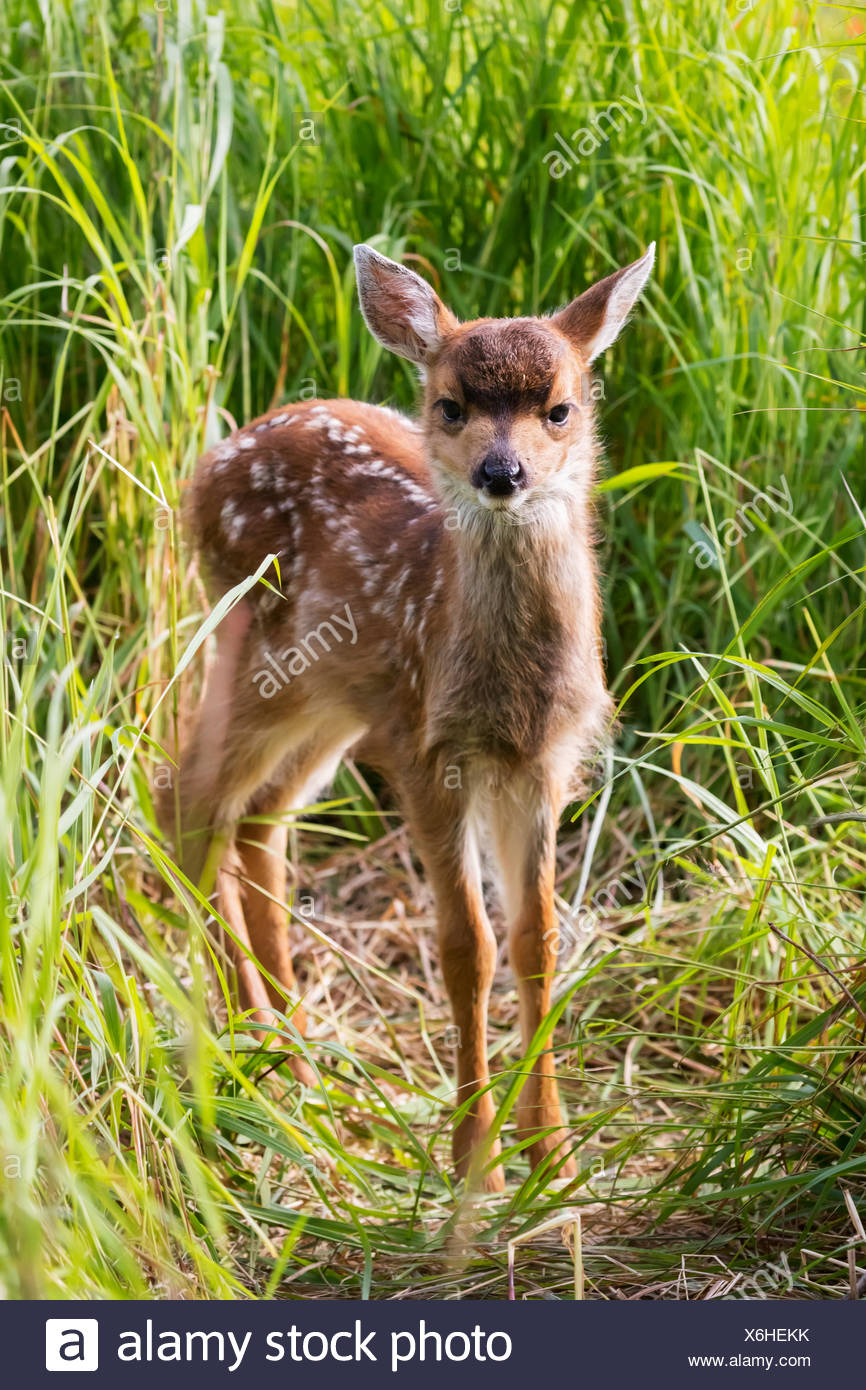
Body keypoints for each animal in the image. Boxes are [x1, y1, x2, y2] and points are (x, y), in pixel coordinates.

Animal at [162, 241, 655, 1192]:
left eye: (561, 408)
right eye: (451, 404)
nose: (502, 474)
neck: (509, 685)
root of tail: (206, 465)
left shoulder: (540, 764)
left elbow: (537, 940)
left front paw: (554, 1154)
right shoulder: (431, 754)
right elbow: (469, 949)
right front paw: (477, 1163)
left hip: (339, 707)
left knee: (258, 818)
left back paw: (296, 1058)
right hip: (258, 658)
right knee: (187, 800)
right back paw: (254, 1054)